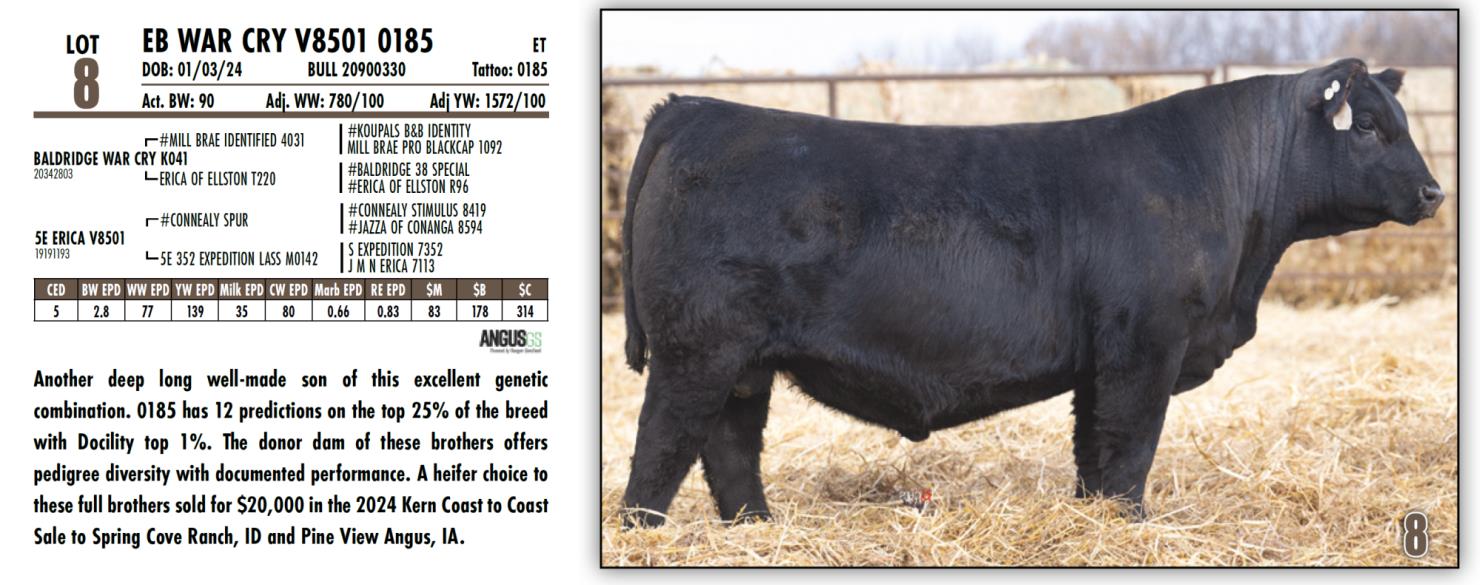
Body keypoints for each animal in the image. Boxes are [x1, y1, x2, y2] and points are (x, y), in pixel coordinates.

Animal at [616, 59, 1444, 528]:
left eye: (1399, 121)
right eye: (1367, 127)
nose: (1435, 191)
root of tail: (696, 108)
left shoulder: (1102, 361)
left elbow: (1095, 449)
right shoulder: (1145, 344)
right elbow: (1130, 445)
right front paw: (1131, 524)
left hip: (742, 362)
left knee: (729, 448)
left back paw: (758, 528)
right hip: (697, 349)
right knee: (662, 447)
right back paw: (646, 531)